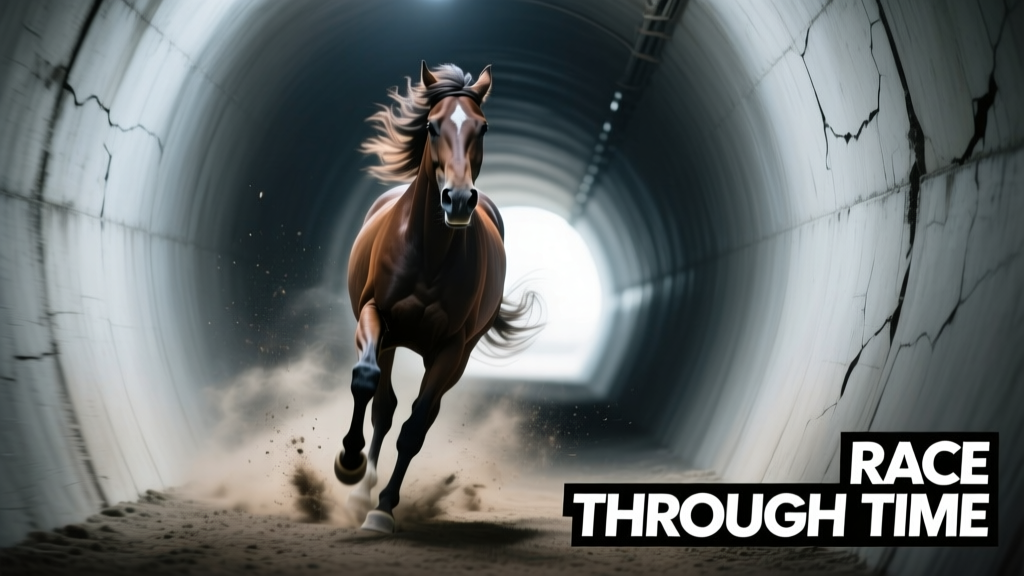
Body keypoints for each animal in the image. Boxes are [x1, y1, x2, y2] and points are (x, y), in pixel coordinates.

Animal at [334, 62, 540, 533]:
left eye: (483, 127)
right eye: (431, 125)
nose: (459, 200)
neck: (428, 254)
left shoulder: (450, 348)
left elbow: (415, 427)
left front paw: (383, 509)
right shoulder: (374, 316)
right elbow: (366, 381)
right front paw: (349, 463)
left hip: (454, 358)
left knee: (419, 417)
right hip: (390, 341)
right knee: (383, 406)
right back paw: (358, 489)